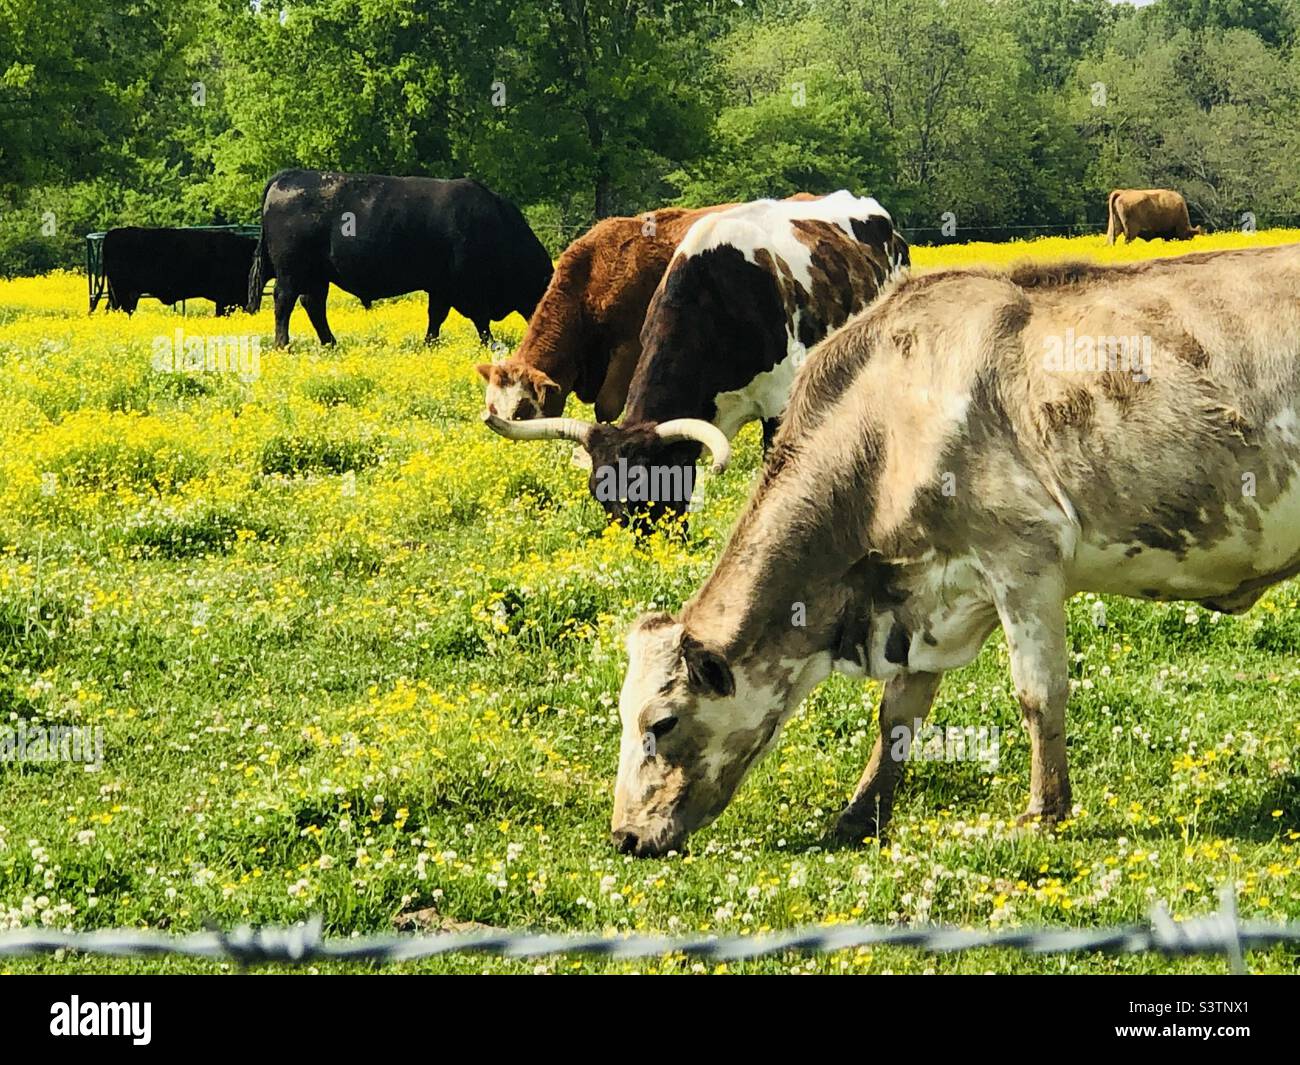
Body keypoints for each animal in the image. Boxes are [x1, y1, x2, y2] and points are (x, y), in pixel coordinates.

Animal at [247, 170, 553, 347]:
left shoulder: (441, 287)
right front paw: (490, 344)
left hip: (316, 277)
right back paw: (283, 345)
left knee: (313, 305)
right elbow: (480, 320)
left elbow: (436, 316)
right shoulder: (467, 287)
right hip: (292, 274)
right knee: (284, 302)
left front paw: (430, 343)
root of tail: (287, 177)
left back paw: (330, 343)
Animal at [607, 243, 1300, 858]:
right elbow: (898, 716)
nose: (626, 838)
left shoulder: (1024, 557)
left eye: (662, 722)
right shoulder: (921, 595)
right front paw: (858, 817)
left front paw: (1045, 813)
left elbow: (1038, 693)